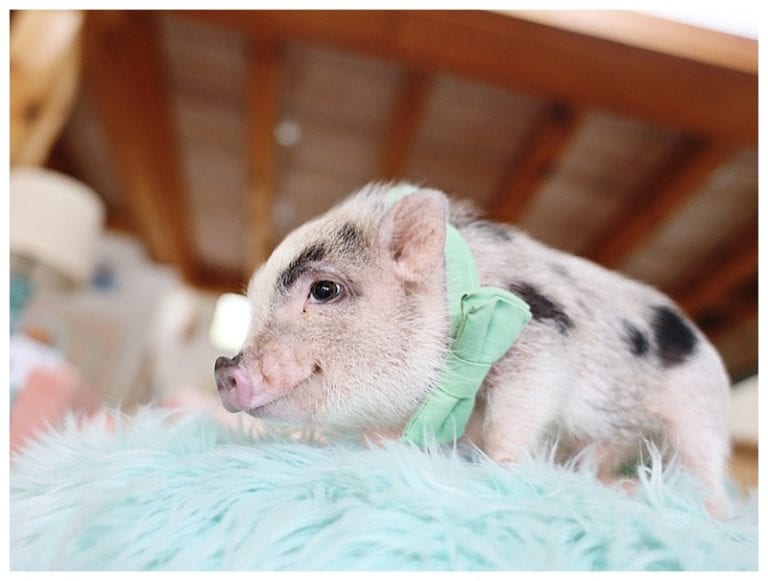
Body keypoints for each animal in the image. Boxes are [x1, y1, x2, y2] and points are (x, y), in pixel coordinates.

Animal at [214, 182, 731, 516]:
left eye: (324, 291)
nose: (223, 368)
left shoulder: (542, 340)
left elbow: (513, 416)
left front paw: (498, 469)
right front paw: (380, 448)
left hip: (697, 408)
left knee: (707, 465)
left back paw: (691, 504)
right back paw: (610, 484)